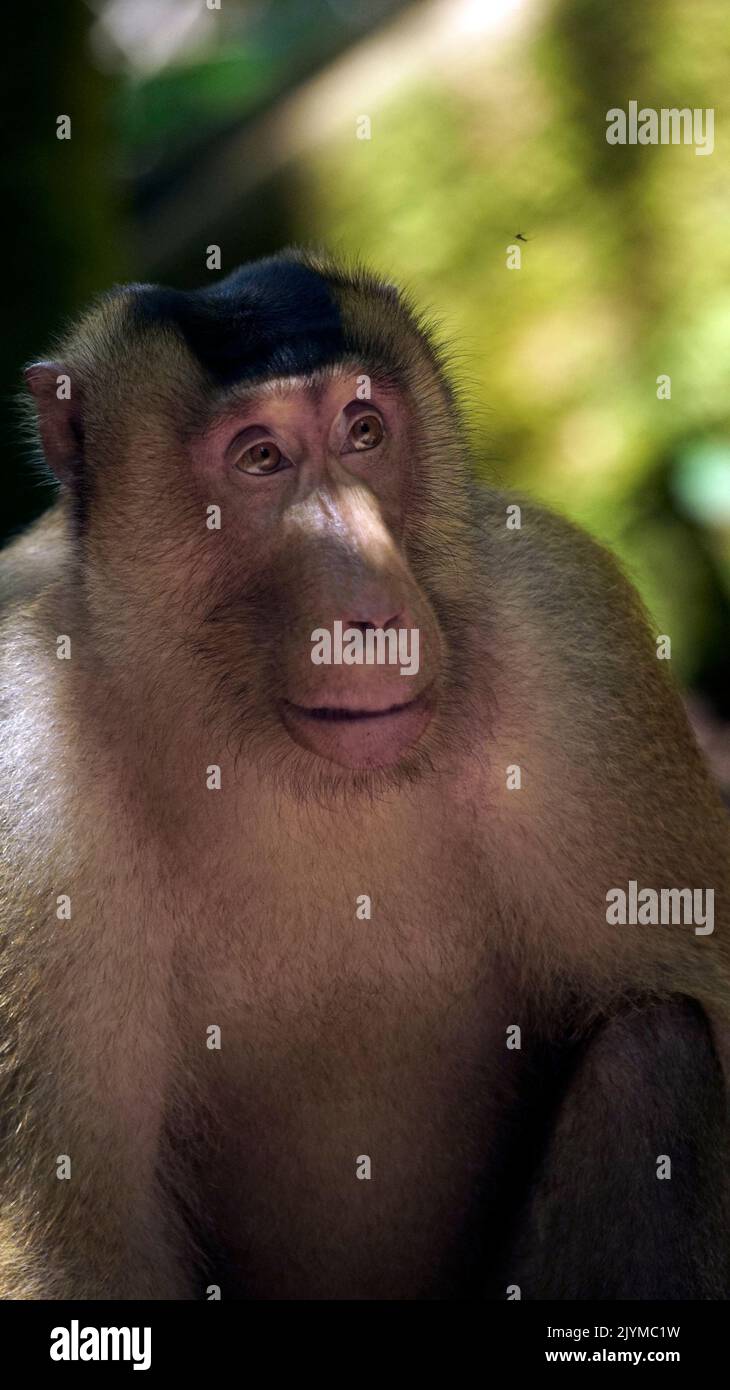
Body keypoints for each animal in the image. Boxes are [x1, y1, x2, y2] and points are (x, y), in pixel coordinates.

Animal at [0, 248, 728, 1301]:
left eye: (365, 430)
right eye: (259, 457)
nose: (373, 608)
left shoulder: (575, 645)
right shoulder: (27, 788)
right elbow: (70, 1241)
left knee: (655, 1048)